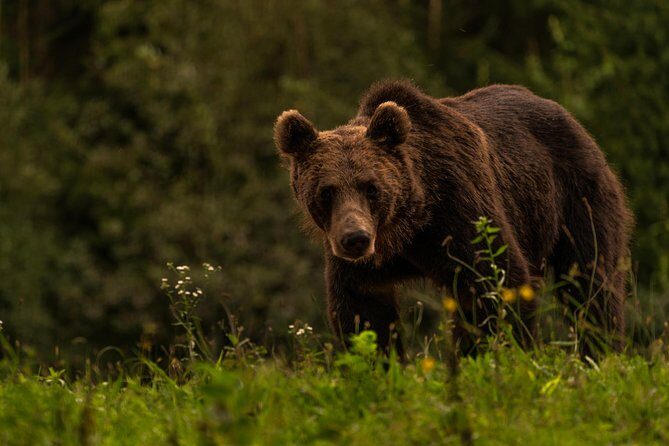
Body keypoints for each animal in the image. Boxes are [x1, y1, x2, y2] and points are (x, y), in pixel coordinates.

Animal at [274, 80, 633, 357]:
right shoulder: (361, 262)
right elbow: (363, 309)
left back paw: (601, 353)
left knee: (590, 279)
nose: (356, 239)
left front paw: (487, 356)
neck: (408, 227)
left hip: (578, 197)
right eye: (326, 192)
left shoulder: (458, 210)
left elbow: (495, 284)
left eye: (371, 187)